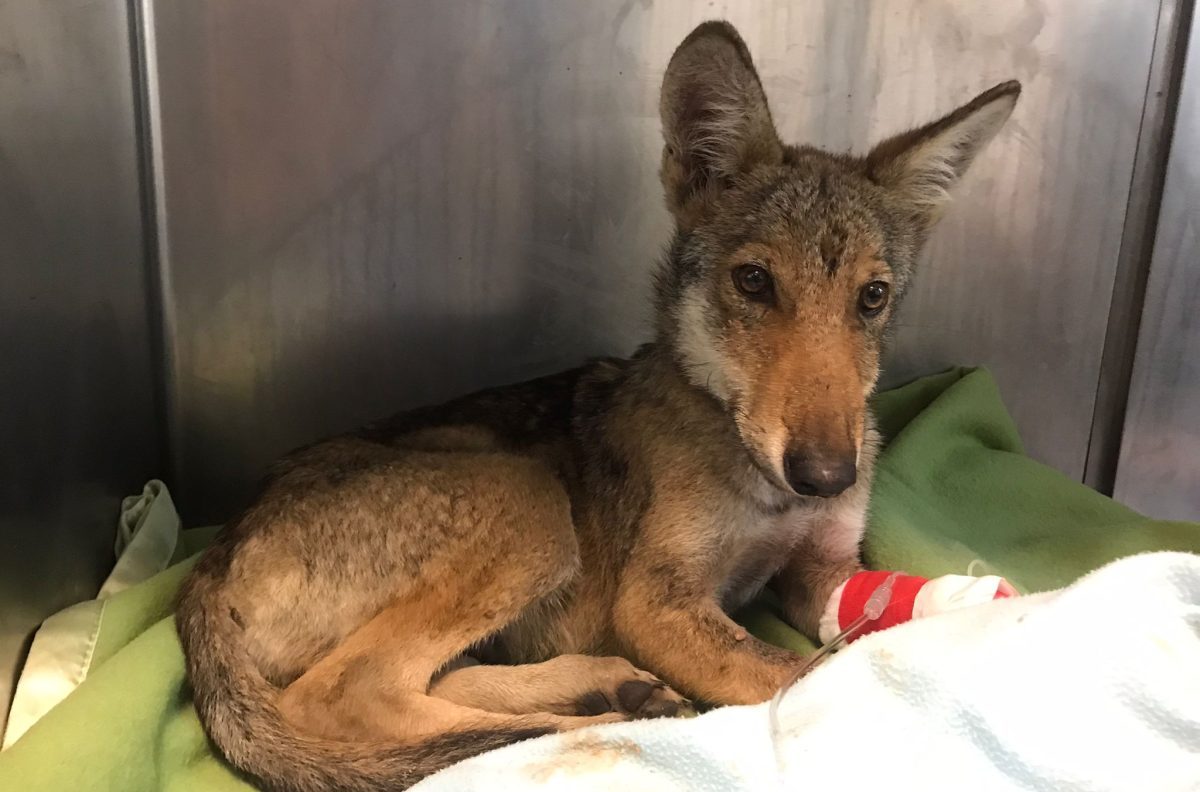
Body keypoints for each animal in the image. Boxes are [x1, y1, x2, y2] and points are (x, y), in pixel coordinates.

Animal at [176, 20, 1019, 792]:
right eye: (753, 282)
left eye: (872, 298)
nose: (825, 476)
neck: (748, 465)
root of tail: (206, 568)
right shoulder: (658, 602)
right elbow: (801, 672)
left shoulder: (825, 567)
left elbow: (854, 625)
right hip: (528, 502)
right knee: (345, 698)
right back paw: (592, 724)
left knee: (425, 681)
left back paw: (602, 687)